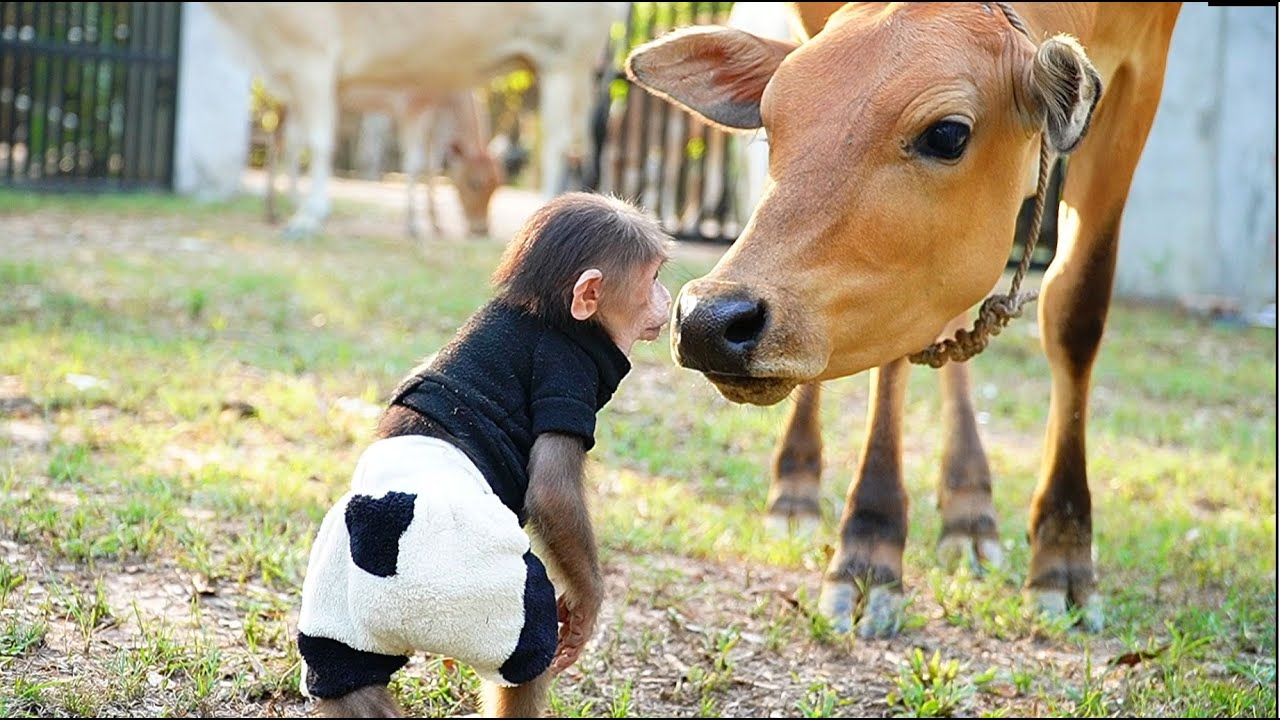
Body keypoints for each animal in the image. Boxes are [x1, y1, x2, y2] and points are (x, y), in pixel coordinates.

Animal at [202, 2, 627, 238]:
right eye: (475, 184)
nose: (479, 230)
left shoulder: (314, 58)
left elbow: (331, 146)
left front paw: (309, 217)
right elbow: (417, 163)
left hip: (564, 63)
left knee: (561, 145)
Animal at [625, 2, 1183, 637]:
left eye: (947, 134)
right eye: (770, 121)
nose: (707, 320)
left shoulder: (1142, 73)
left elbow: (1075, 311)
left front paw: (1063, 558)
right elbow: (893, 347)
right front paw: (870, 551)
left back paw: (970, 512)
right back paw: (798, 491)